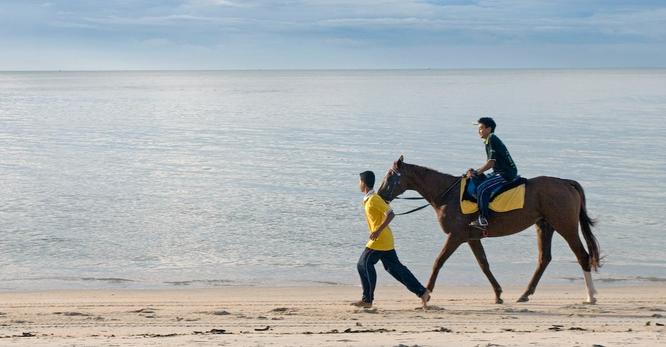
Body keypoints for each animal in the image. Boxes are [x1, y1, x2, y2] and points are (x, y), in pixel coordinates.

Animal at [376, 156, 600, 304]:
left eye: (390, 175)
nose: (380, 194)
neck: (447, 195)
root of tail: (565, 183)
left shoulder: (456, 236)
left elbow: (438, 262)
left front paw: (426, 294)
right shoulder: (471, 238)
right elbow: (484, 265)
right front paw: (498, 294)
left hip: (565, 226)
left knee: (582, 255)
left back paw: (591, 296)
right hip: (545, 226)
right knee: (544, 259)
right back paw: (525, 294)